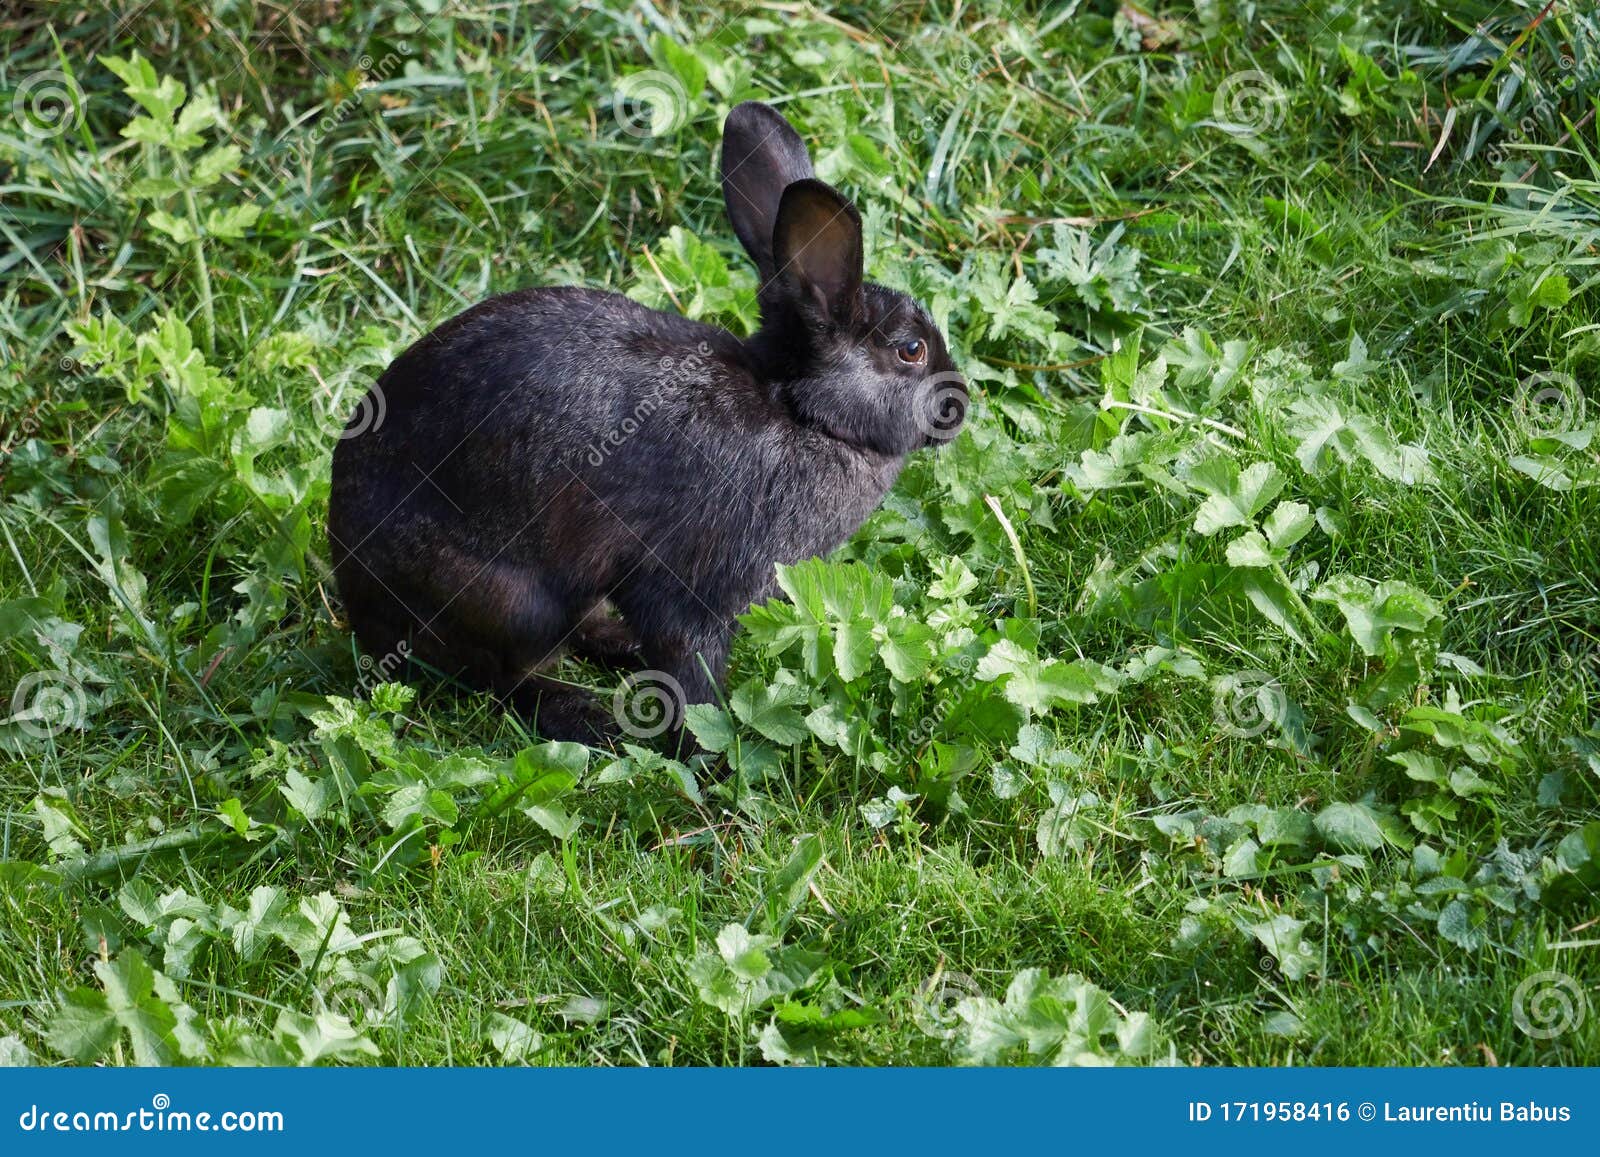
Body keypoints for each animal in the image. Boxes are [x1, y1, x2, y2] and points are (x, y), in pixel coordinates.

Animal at [327, 100, 965, 746]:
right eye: (911, 350)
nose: (959, 405)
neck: (799, 409)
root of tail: (356, 592)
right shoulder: (690, 588)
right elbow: (689, 670)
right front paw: (703, 750)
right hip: (512, 602)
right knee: (503, 677)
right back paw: (586, 713)